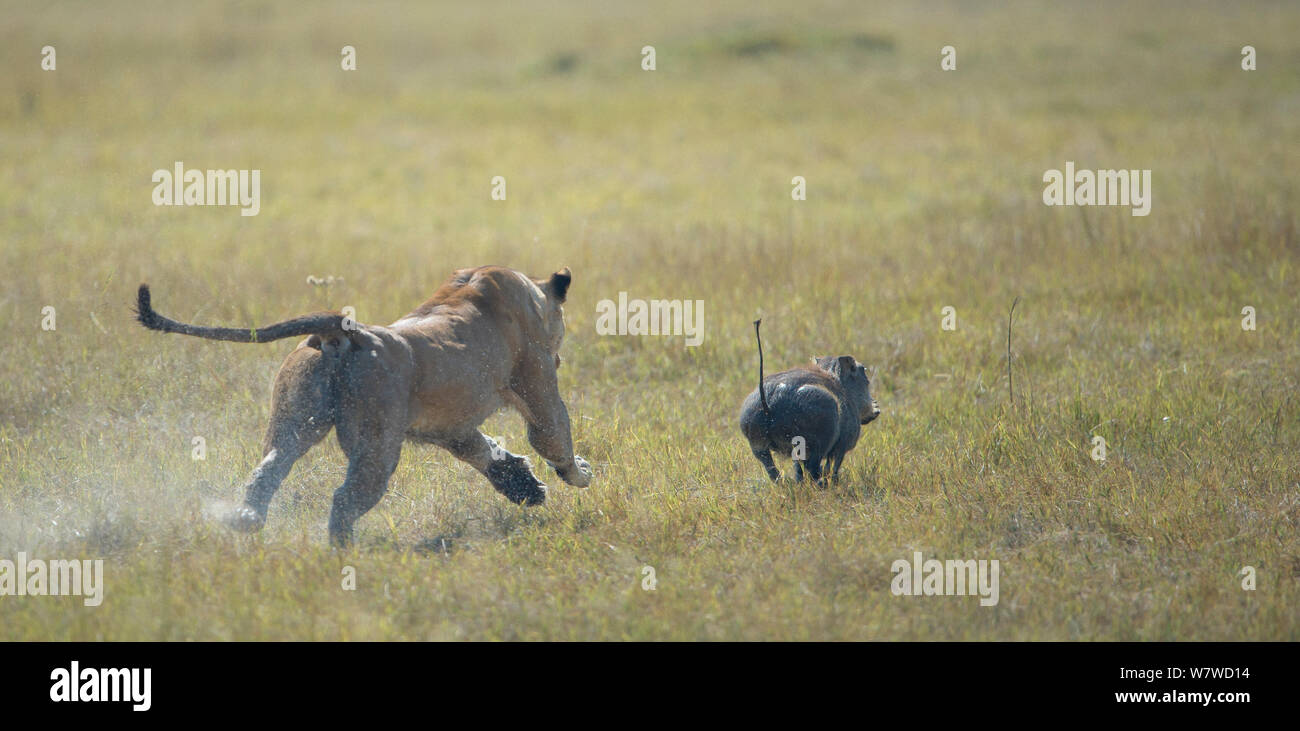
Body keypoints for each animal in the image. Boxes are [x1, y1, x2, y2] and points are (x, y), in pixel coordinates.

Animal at [135, 265, 593, 546]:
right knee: (343, 499)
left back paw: (245, 519)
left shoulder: (452, 427)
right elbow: (554, 439)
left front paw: (525, 487)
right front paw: (580, 473)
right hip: (378, 447)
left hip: (292, 423)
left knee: (267, 469)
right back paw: (343, 552)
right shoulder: (537, 385)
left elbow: (488, 452)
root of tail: (346, 330)